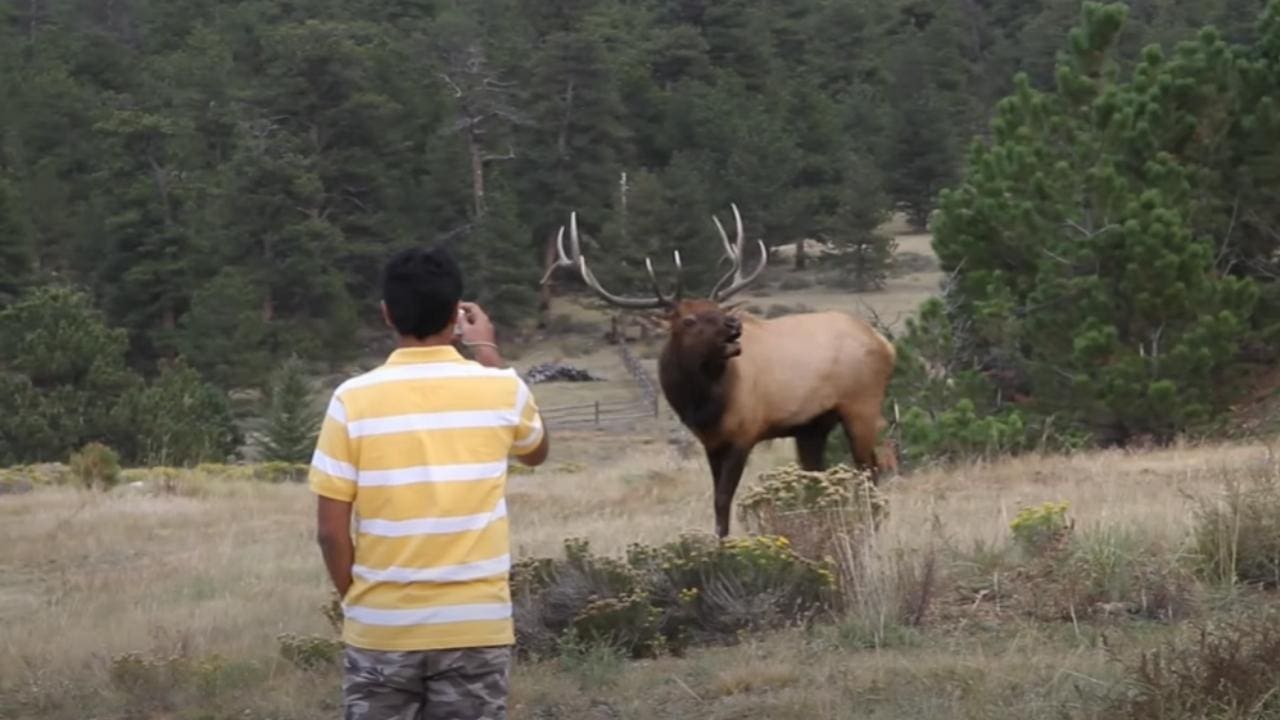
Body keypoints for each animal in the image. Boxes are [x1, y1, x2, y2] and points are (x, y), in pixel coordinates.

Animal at [542, 205, 897, 538]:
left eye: (718, 309)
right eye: (688, 320)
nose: (734, 326)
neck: (702, 405)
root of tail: (885, 344)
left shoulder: (746, 432)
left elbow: (725, 497)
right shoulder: (711, 442)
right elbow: (717, 503)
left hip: (862, 405)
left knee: (873, 467)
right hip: (812, 426)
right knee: (820, 474)